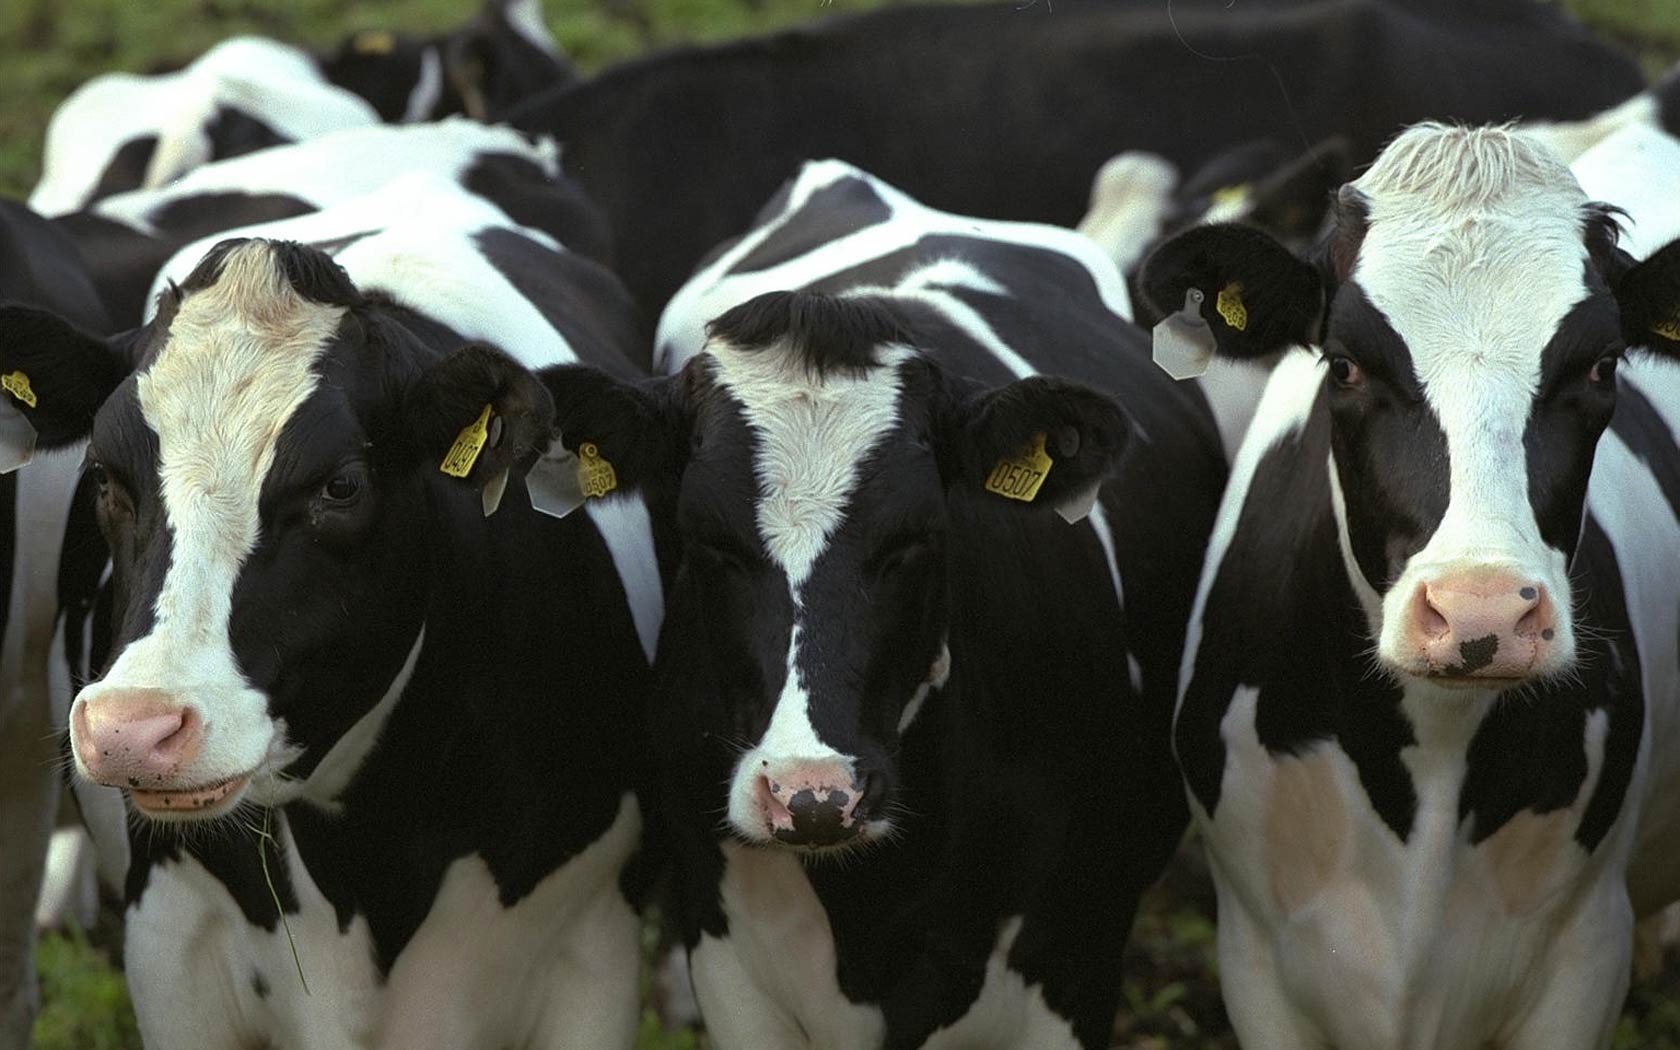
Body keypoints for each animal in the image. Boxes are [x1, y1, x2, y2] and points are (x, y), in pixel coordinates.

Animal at [0, 171, 660, 1049]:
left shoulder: (592, 946)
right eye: (106, 478)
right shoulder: (171, 946)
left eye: (340, 485)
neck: (369, 855)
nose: (134, 729)